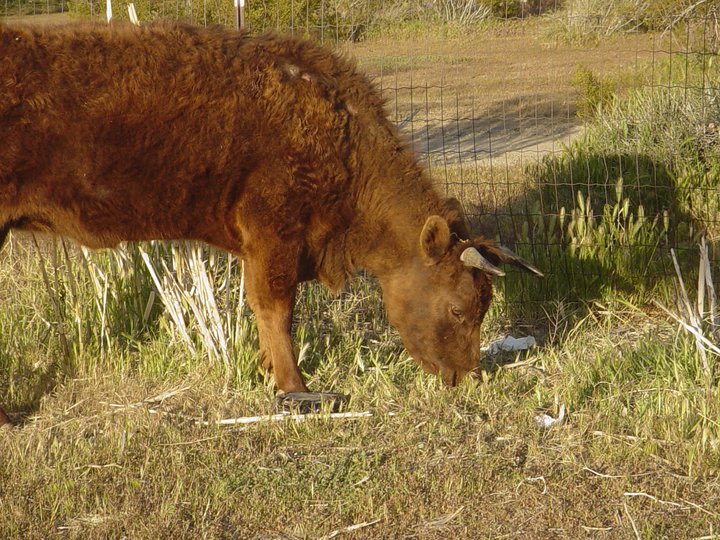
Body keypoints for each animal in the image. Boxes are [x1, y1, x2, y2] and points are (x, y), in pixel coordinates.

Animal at [0, 22, 541, 424]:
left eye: (486, 306)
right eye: (458, 308)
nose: (466, 376)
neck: (340, 133)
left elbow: (263, 310)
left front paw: (268, 371)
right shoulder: (274, 235)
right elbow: (276, 309)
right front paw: (296, 389)